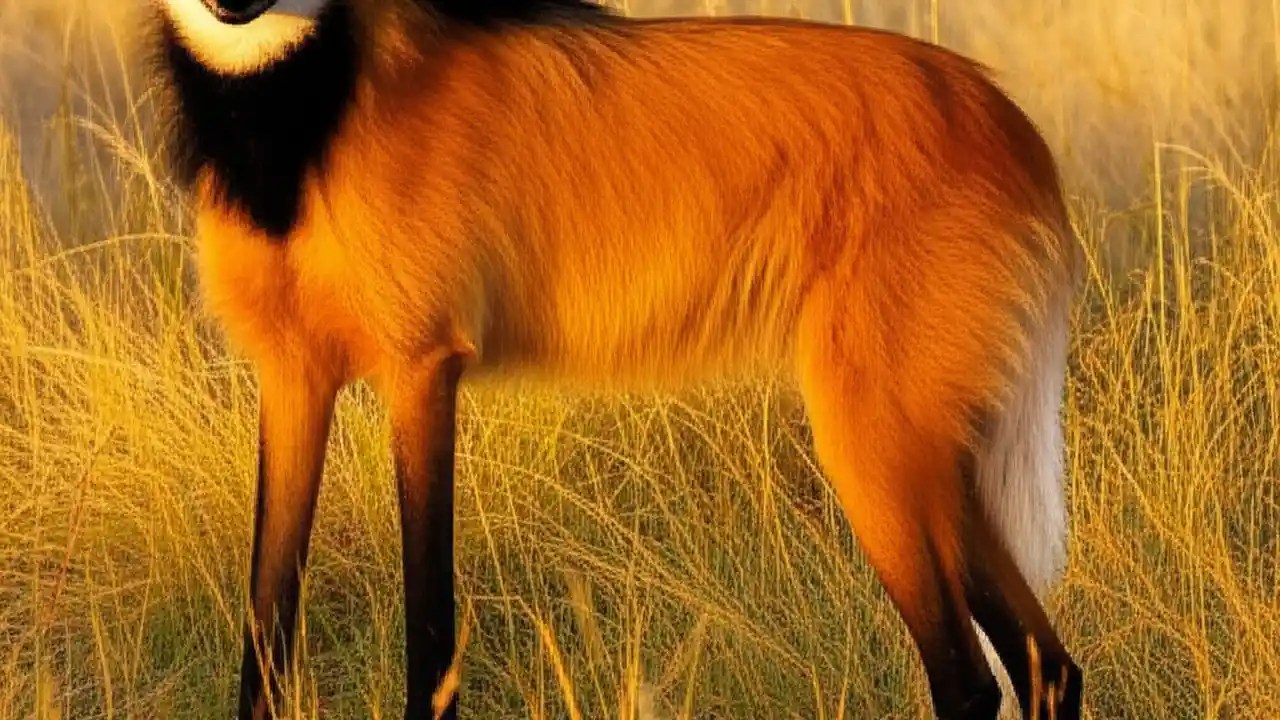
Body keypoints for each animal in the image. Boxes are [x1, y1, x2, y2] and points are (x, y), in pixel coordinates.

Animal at [147, 0, 1084, 718]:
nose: (233, 4)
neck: (290, 124)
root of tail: (1013, 122)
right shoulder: (291, 378)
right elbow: (263, 637)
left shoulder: (421, 368)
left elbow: (430, 635)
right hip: (925, 449)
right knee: (1048, 667)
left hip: (869, 447)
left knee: (970, 683)